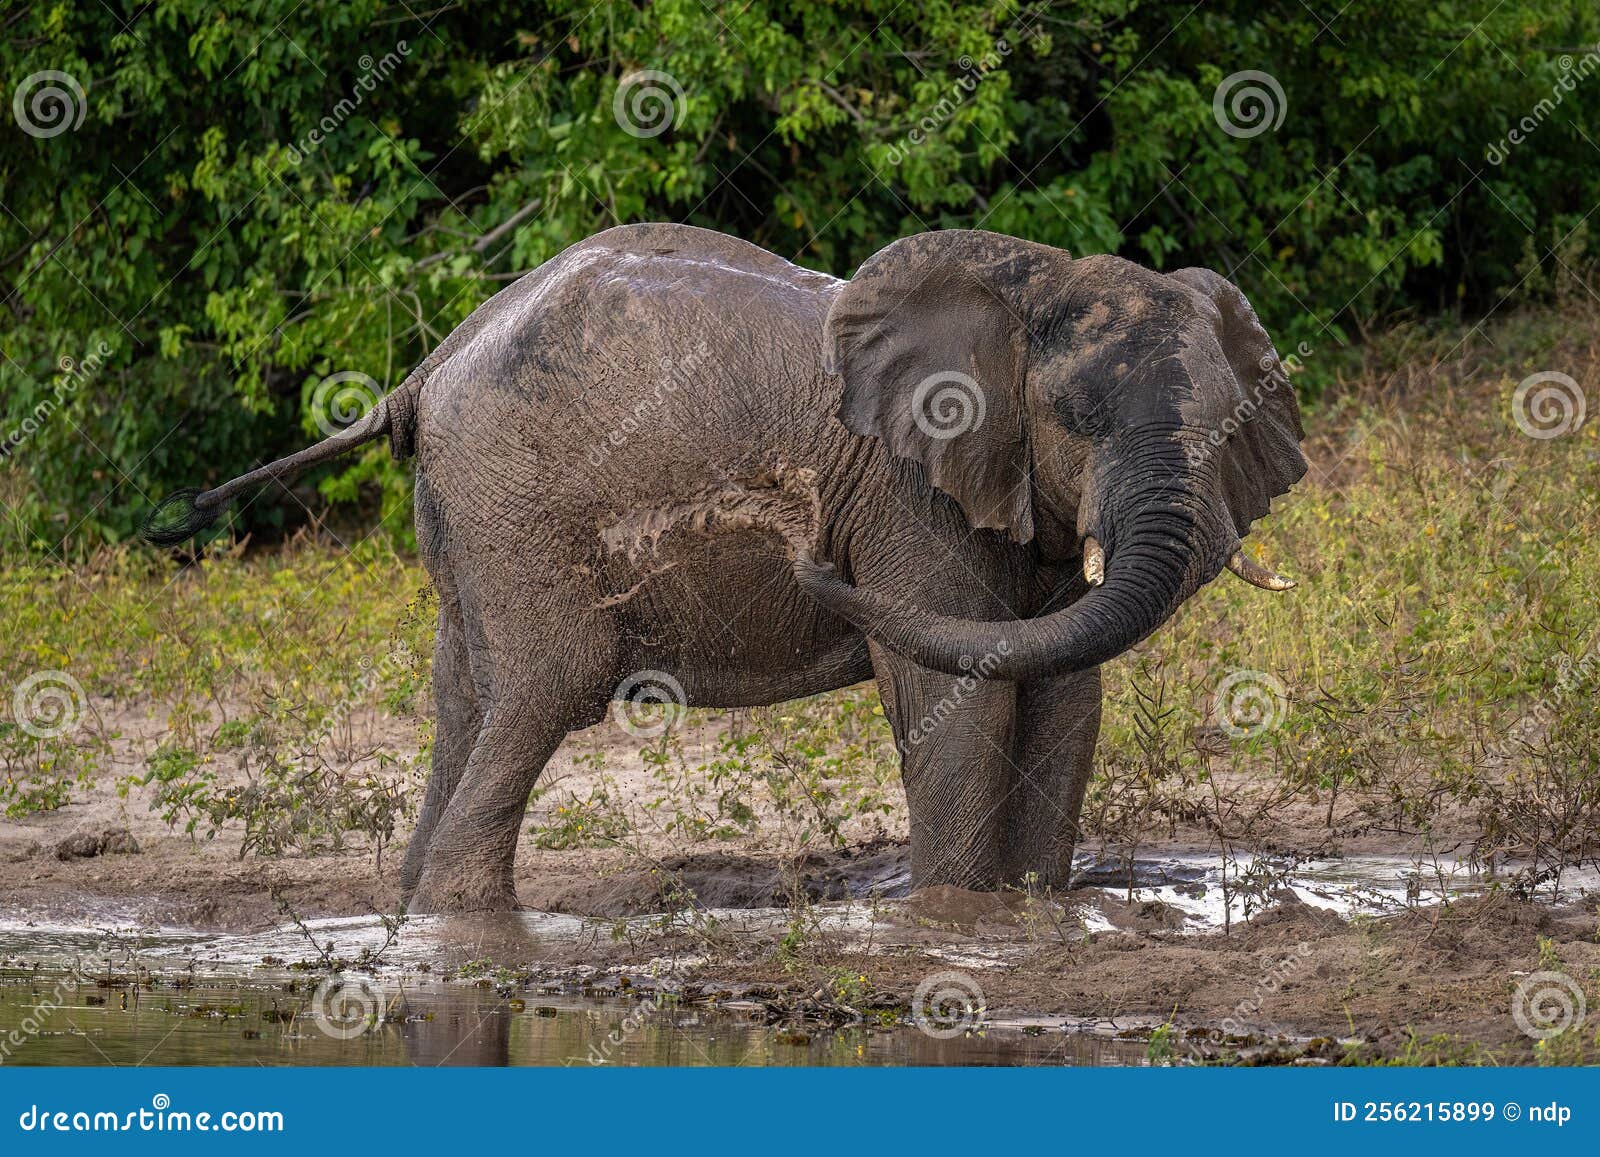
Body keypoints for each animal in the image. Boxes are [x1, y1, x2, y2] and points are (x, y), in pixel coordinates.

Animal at [142, 223, 1307, 913]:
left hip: (465, 515)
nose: (800, 528)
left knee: (463, 702)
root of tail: (423, 370)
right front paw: (955, 922)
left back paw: (409, 909)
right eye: (1077, 417)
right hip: (515, 504)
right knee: (542, 689)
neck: (1034, 283)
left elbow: (1065, 696)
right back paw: (459, 924)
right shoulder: (910, 487)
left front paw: (1030, 910)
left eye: (1234, 425)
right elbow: (962, 691)